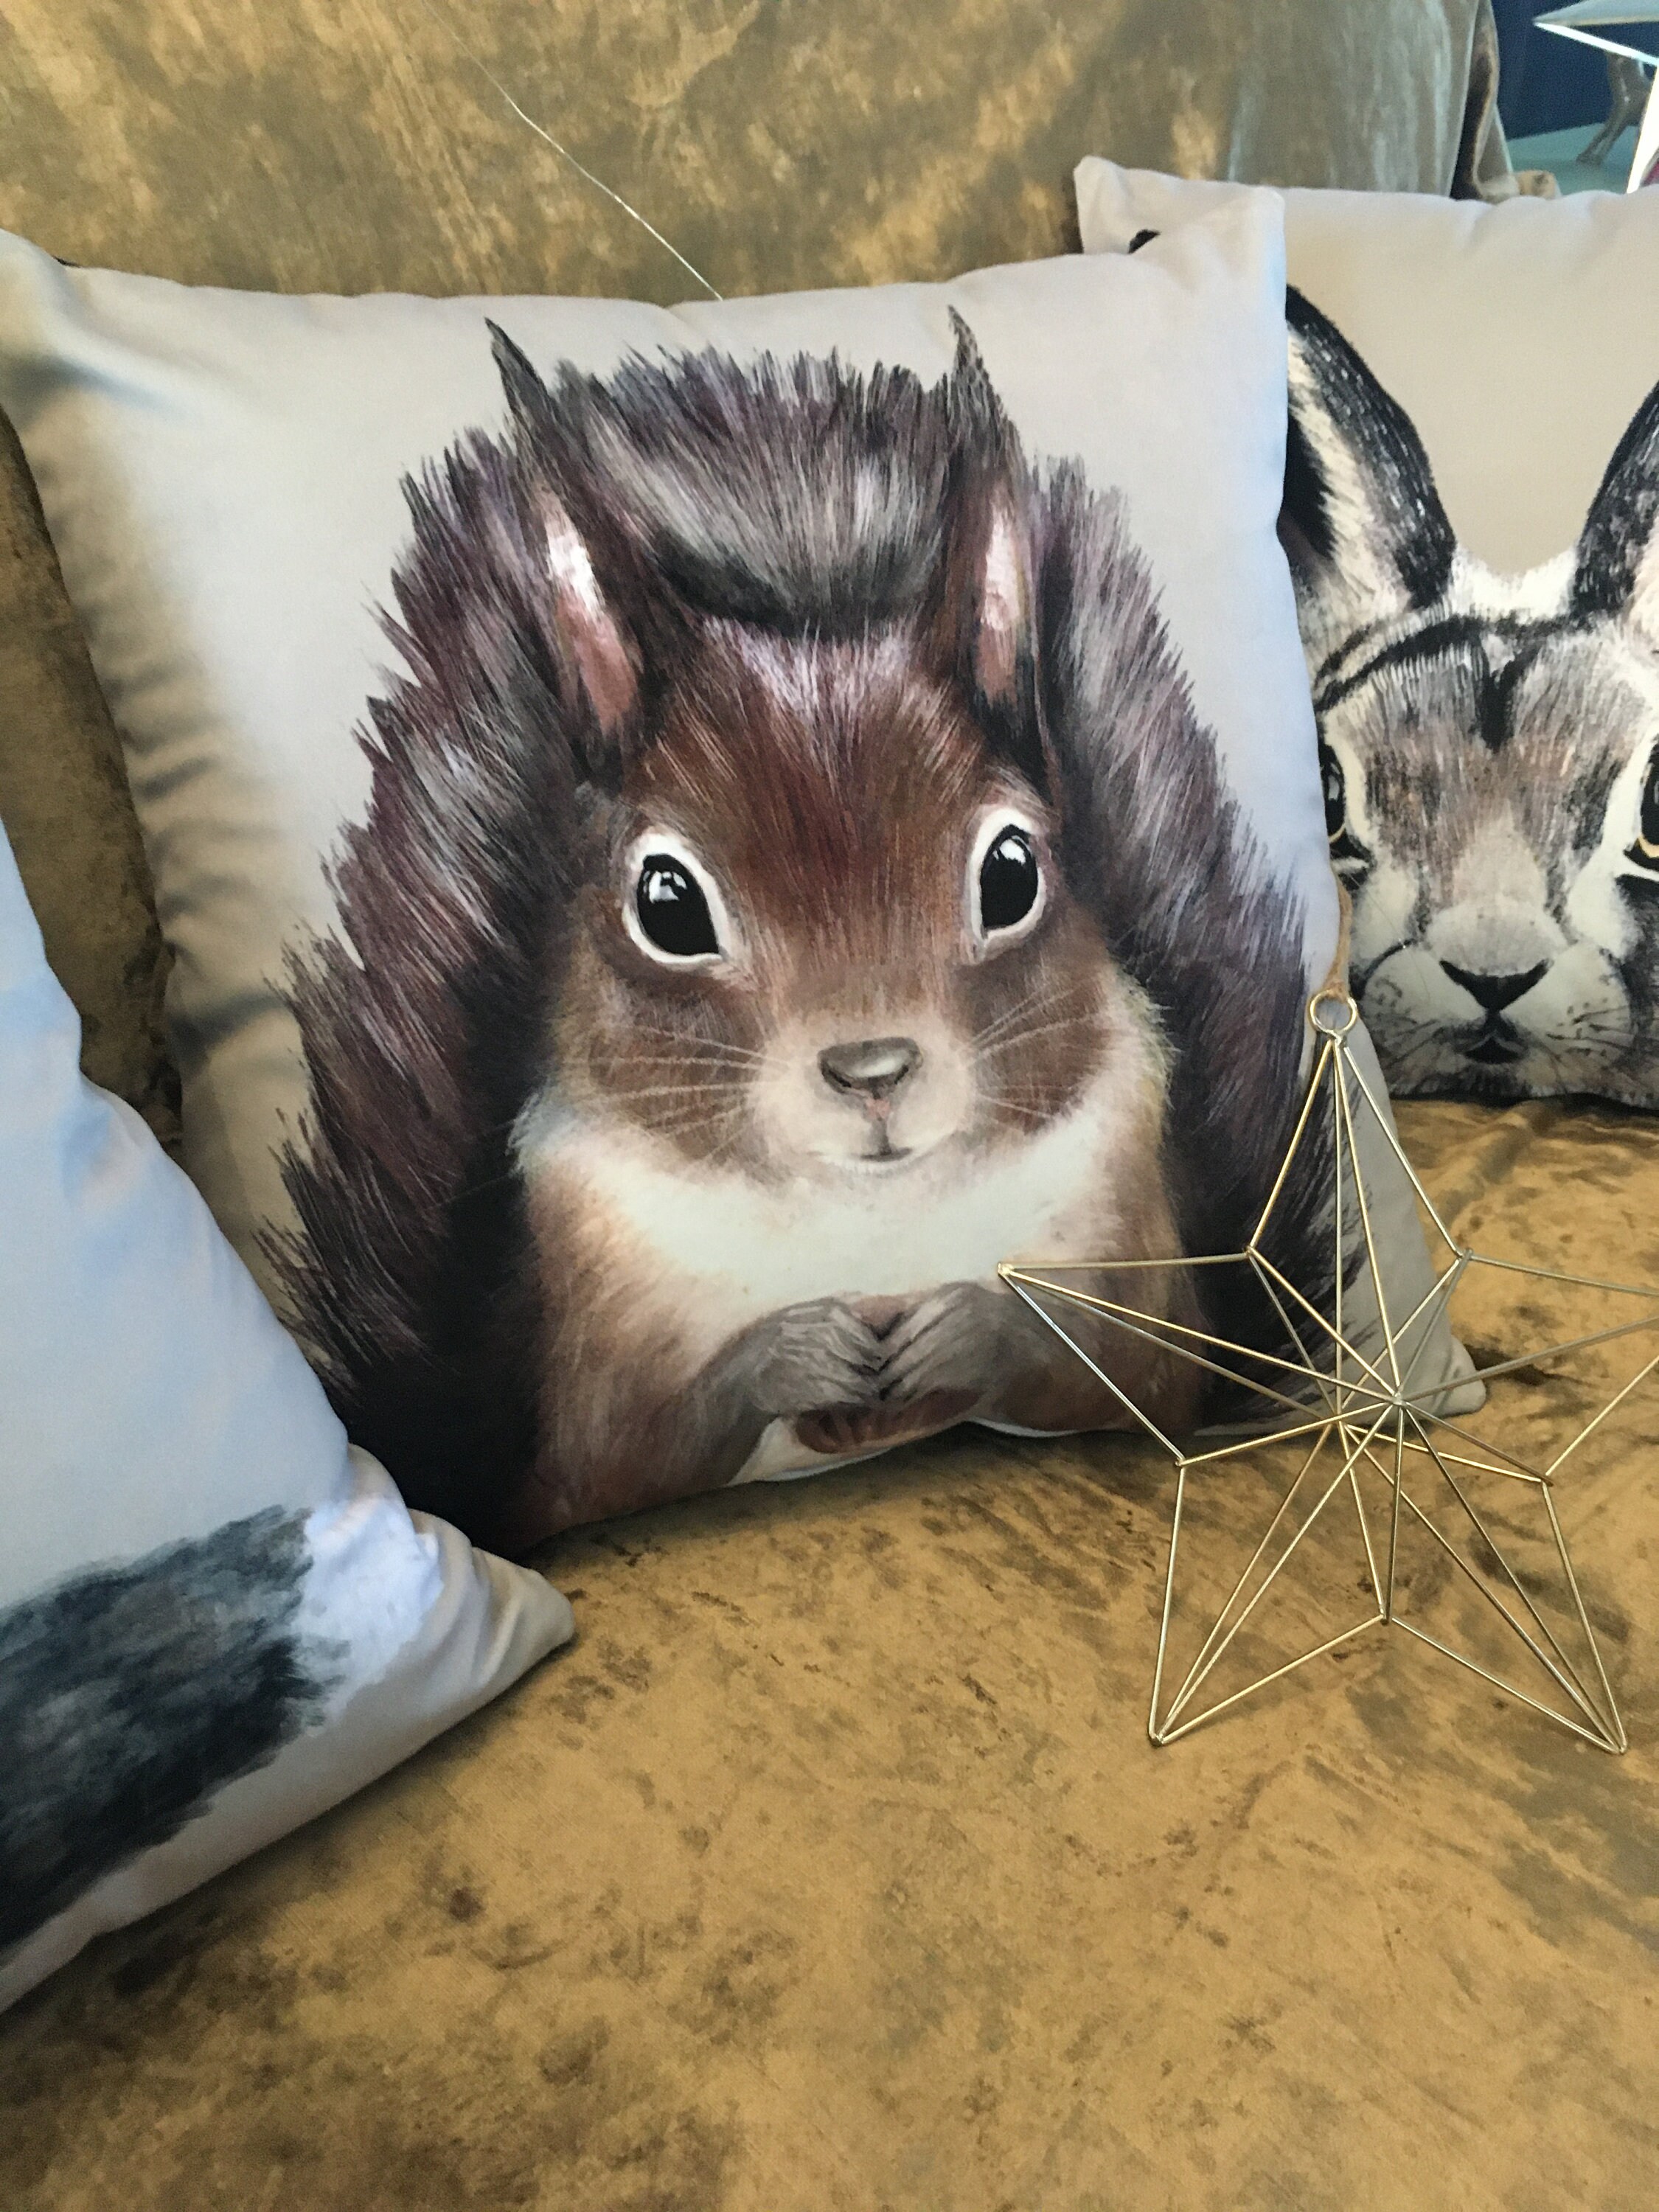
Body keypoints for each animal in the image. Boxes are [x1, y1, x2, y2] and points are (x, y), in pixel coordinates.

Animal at [271, 321, 1327, 1550]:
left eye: (1011, 873)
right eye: (666, 904)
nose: (871, 1071)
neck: (862, 1219)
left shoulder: (1130, 1237)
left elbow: (1127, 1371)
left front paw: (974, 1326)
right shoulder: (593, 1355)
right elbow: (622, 1457)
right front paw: (790, 1351)